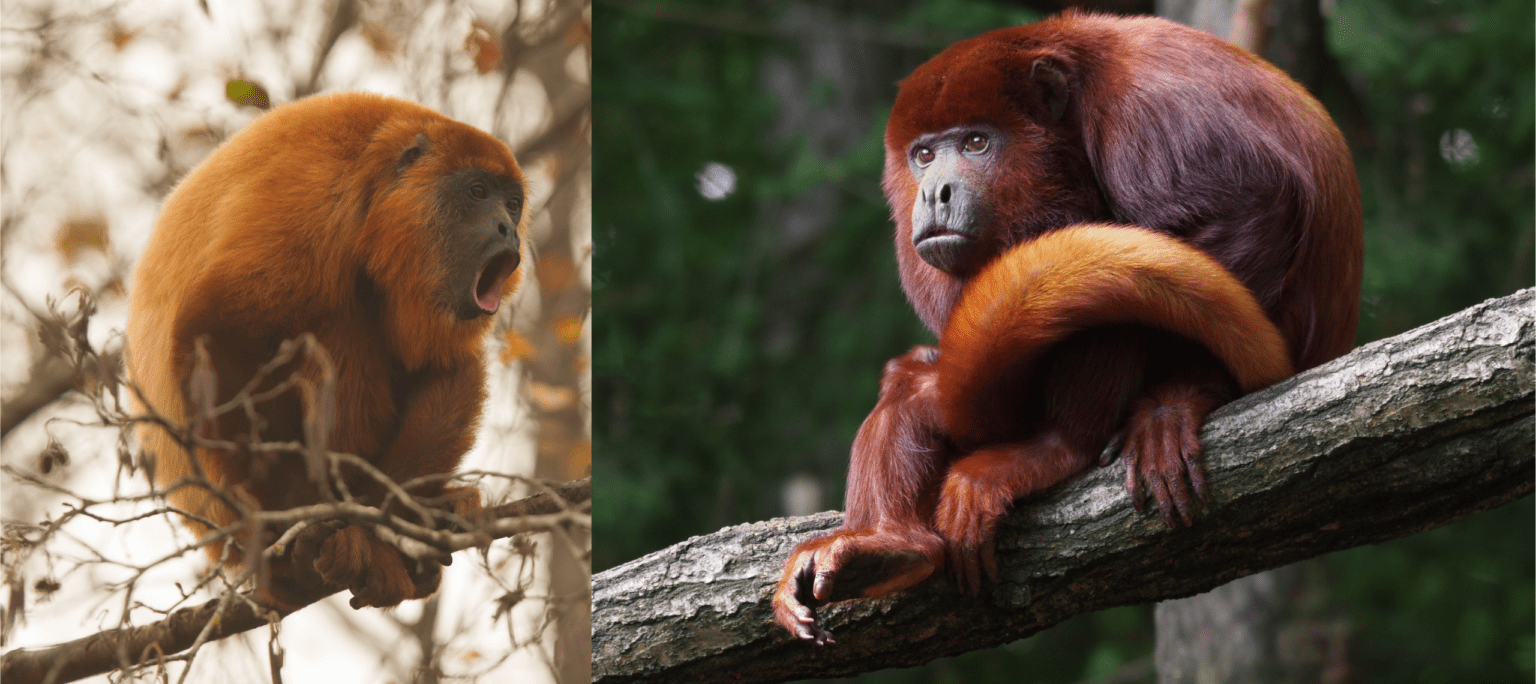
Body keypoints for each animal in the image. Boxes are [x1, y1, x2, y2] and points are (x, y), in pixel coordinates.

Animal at [127, 91, 528, 609]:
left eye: (513, 205)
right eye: (477, 192)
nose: (507, 230)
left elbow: (444, 364)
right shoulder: (310, 193)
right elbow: (218, 330)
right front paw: (297, 537)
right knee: (338, 320)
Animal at [773, 12, 1362, 644]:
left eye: (977, 143)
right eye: (924, 155)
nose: (933, 192)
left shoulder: (1148, 109)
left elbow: (1248, 205)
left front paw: (1178, 398)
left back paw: (1058, 446)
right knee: (917, 387)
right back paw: (889, 545)